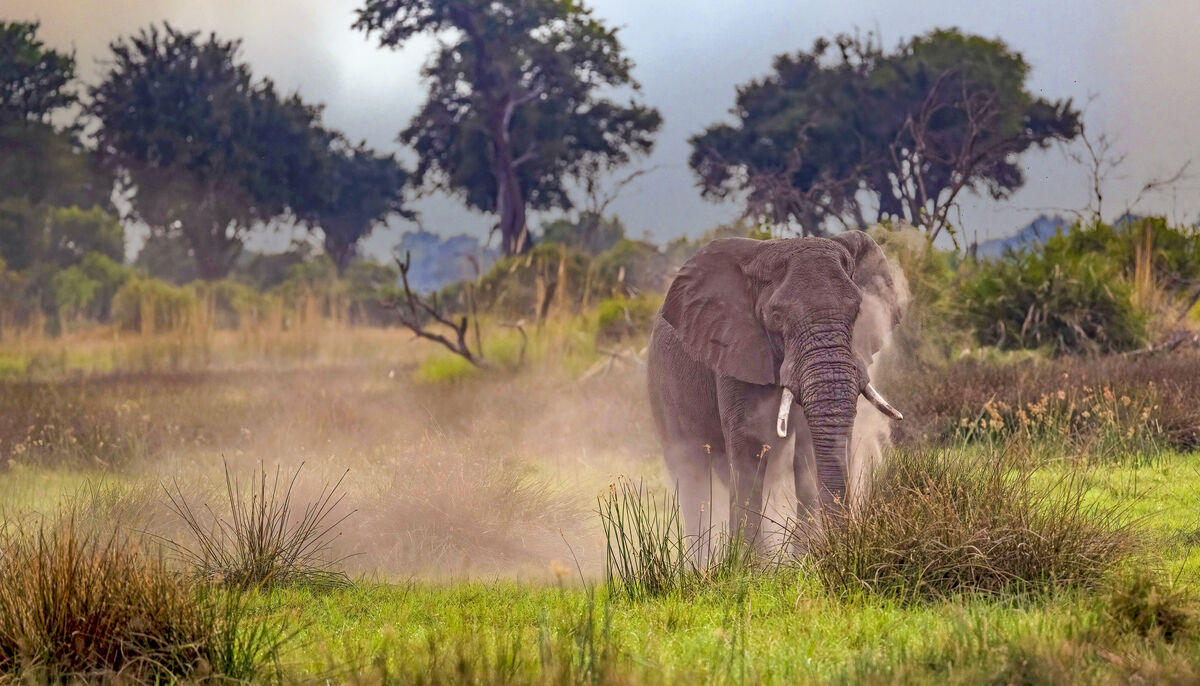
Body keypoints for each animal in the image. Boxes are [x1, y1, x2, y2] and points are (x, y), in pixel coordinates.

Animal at [646, 231, 906, 549]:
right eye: (777, 316)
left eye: (857, 312)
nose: (844, 544)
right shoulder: (735, 349)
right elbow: (750, 446)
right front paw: (748, 561)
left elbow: (808, 450)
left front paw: (806, 553)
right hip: (660, 389)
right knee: (691, 475)